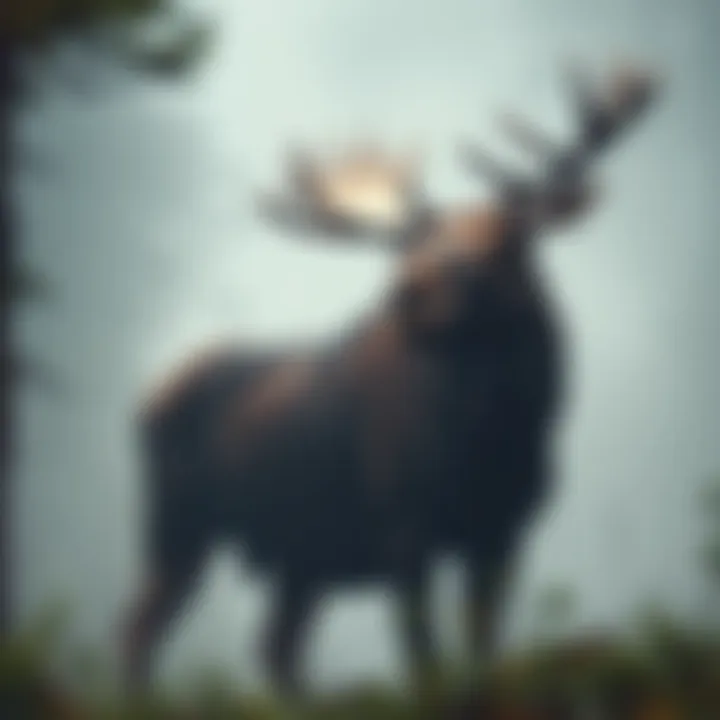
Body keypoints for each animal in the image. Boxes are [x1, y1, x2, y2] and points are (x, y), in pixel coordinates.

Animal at [120, 63, 660, 696]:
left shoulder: (505, 528)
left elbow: (482, 652)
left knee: (275, 647)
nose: (408, 290)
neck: (496, 437)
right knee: (140, 628)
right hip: (178, 520)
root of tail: (148, 396)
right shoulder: (402, 525)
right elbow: (425, 661)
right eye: (409, 242)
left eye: (509, 236)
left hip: (303, 555)